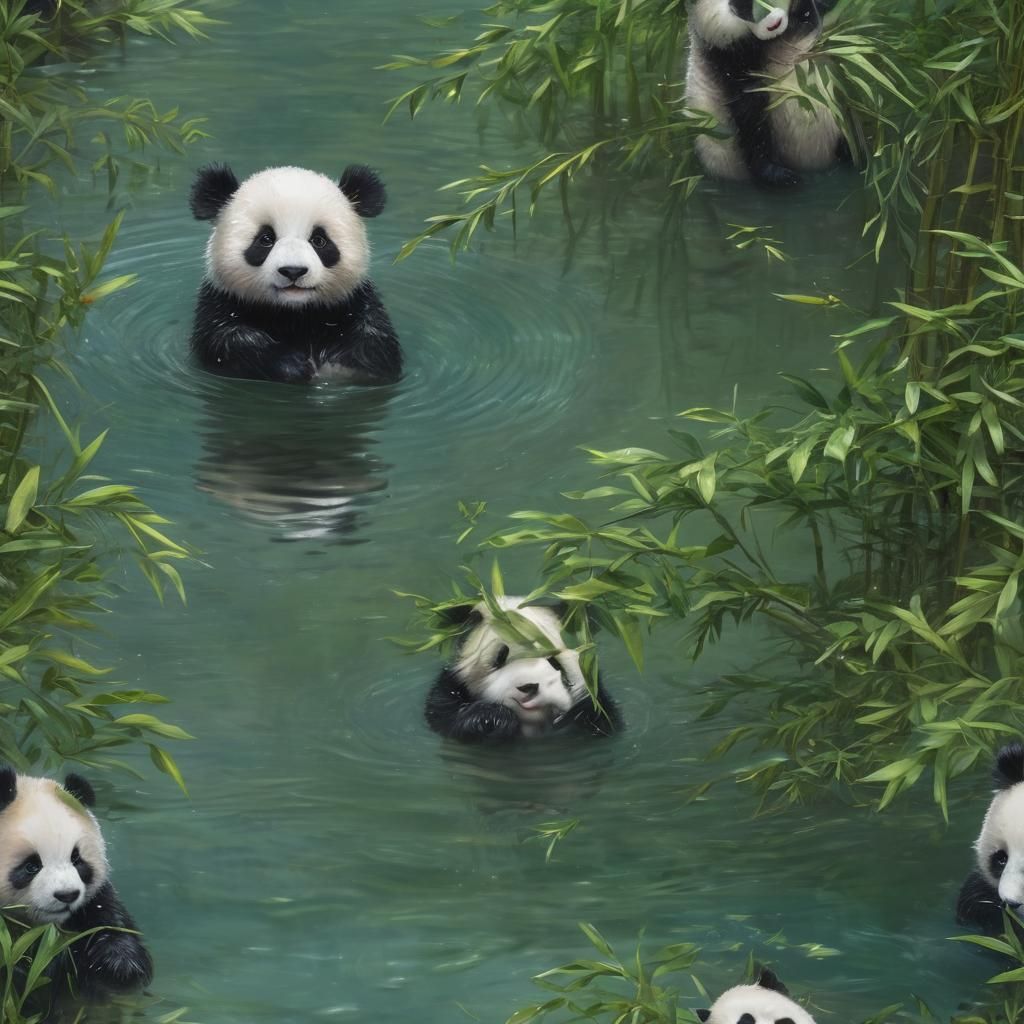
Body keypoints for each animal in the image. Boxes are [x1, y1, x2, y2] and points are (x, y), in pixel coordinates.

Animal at [0, 765, 153, 998]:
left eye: (76, 859)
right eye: (31, 866)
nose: (67, 895)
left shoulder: (94, 904)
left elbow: (114, 930)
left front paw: (119, 964)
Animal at [189, 163, 402, 384]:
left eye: (319, 240)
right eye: (266, 239)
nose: (293, 271)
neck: (294, 315)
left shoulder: (355, 302)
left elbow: (373, 339)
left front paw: (342, 367)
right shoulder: (221, 303)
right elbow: (230, 343)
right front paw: (292, 365)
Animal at [424, 596, 621, 742]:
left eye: (554, 662)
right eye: (500, 658)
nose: (529, 687)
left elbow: (604, 718)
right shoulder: (451, 687)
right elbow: (445, 717)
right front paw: (492, 717)